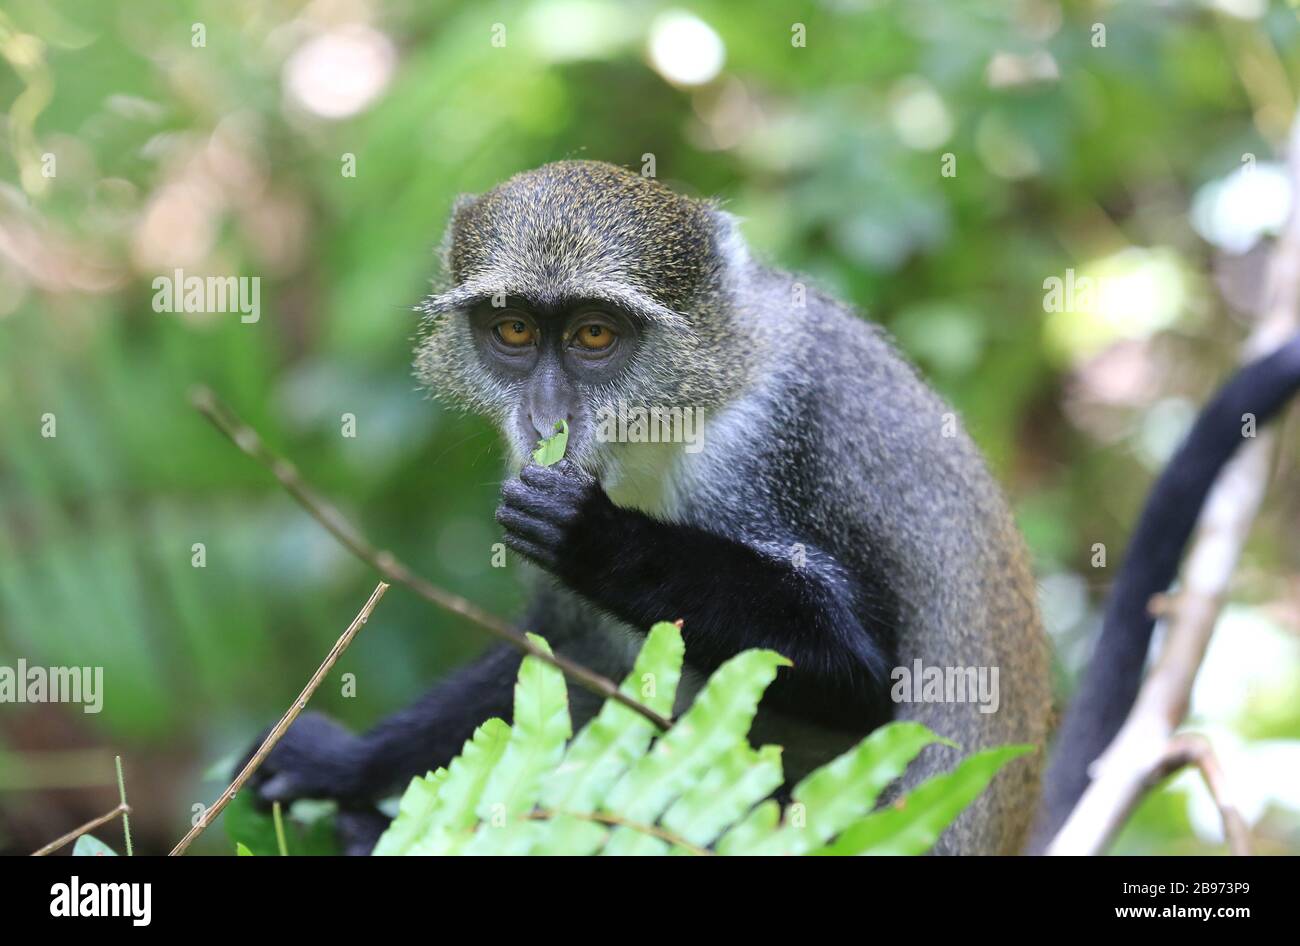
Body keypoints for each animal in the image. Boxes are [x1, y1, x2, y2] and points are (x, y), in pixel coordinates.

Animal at [240, 160, 1300, 856]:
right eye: (511, 331)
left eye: (594, 336)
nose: (545, 417)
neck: (691, 396)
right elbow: (567, 650)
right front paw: (338, 767)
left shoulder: (769, 451)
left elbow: (864, 681)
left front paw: (604, 542)